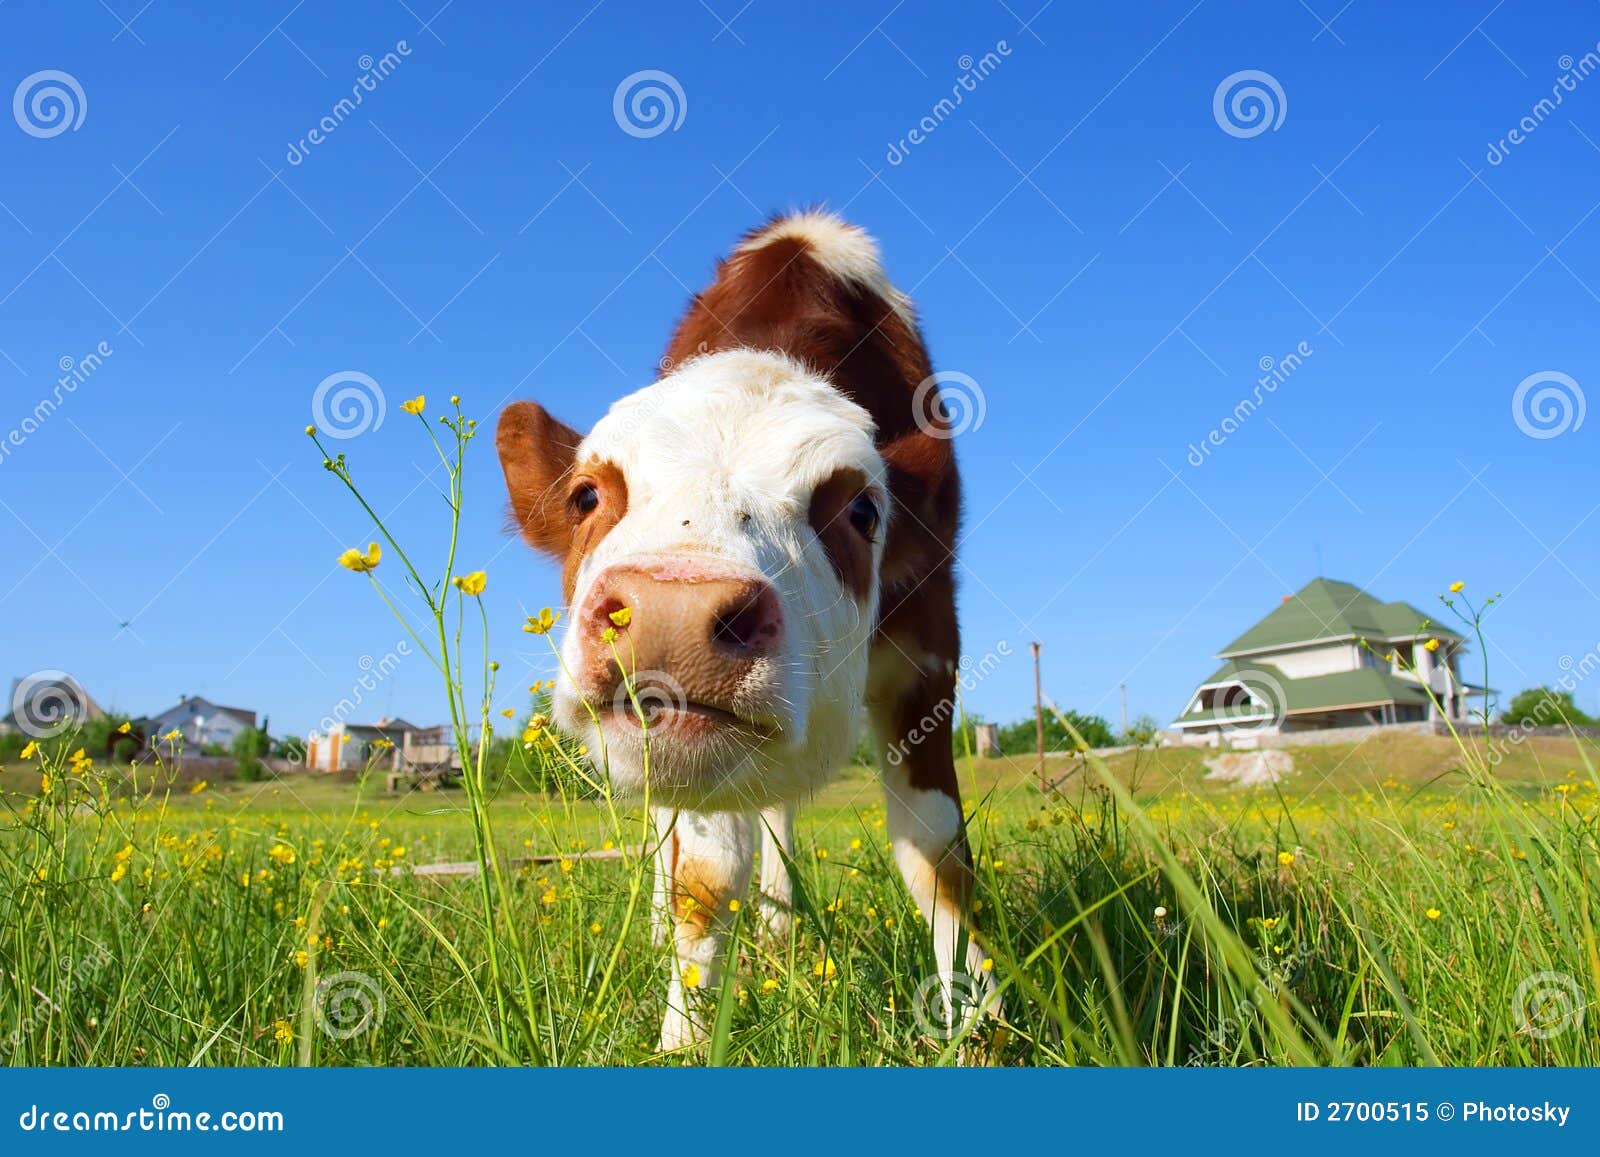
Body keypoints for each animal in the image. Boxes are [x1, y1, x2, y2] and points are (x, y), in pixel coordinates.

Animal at [496, 211, 992, 1050]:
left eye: (862, 510)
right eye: (586, 495)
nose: (668, 616)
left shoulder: (930, 645)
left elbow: (937, 851)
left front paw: (976, 1022)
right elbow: (701, 878)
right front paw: (682, 1041)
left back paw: (781, 925)